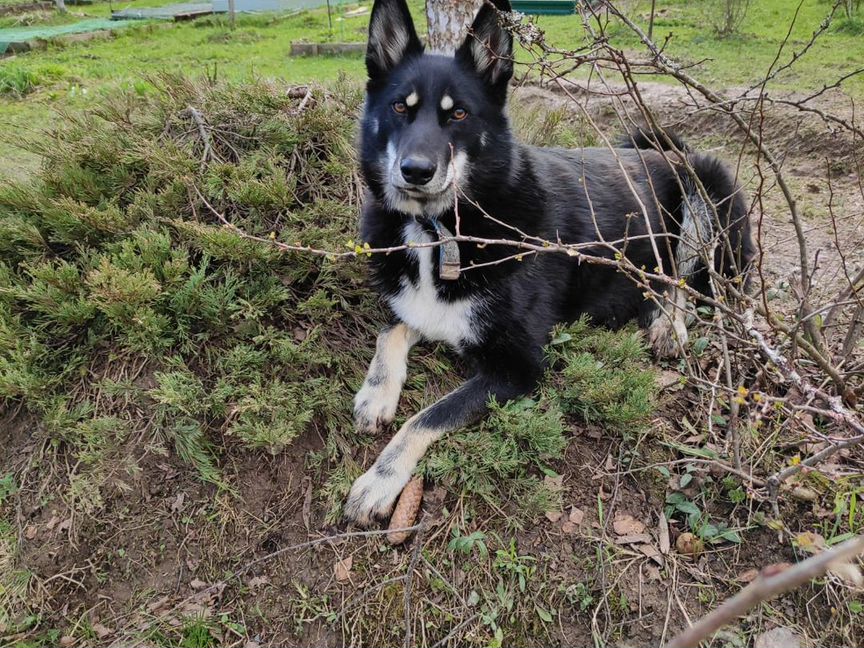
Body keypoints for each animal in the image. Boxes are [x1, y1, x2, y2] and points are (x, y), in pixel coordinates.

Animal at [340, 0, 752, 524]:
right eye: (399, 107)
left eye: (459, 115)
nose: (414, 171)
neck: (440, 229)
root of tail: (669, 149)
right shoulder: (422, 308)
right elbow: (390, 330)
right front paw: (375, 394)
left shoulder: (518, 367)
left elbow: (424, 418)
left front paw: (380, 480)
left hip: (704, 196)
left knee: (689, 281)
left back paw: (667, 324)